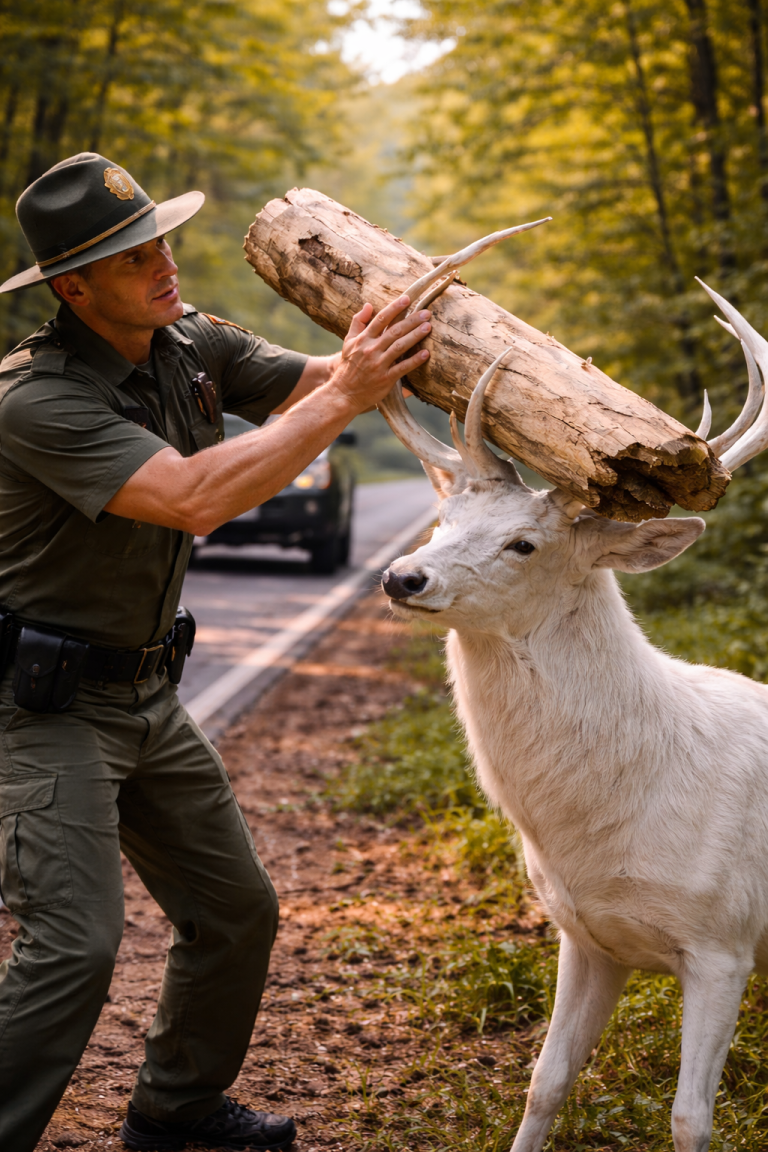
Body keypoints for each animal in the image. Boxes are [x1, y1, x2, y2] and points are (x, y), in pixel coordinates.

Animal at [375, 240, 768, 1152]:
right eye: (444, 523)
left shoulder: (724, 939)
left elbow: (690, 1120)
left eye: (524, 543)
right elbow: (544, 1081)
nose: (402, 576)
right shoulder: (585, 934)